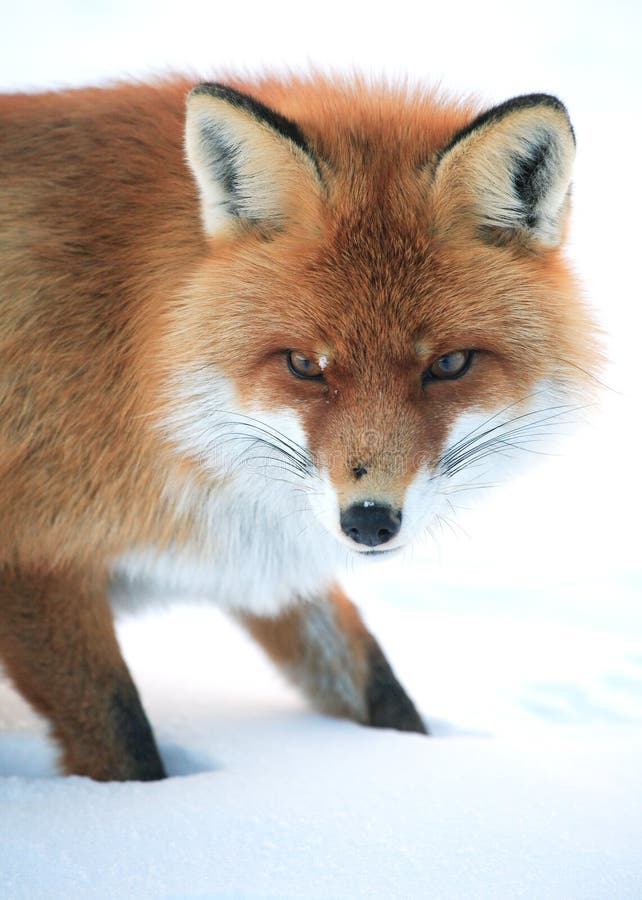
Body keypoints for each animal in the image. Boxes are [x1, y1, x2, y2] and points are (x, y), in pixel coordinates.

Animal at [0, 74, 598, 781]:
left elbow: (378, 687)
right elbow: (123, 741)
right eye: (305, 365)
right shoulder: (37, 563)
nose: (368, 521)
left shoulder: (260, 556)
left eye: (449, 364)